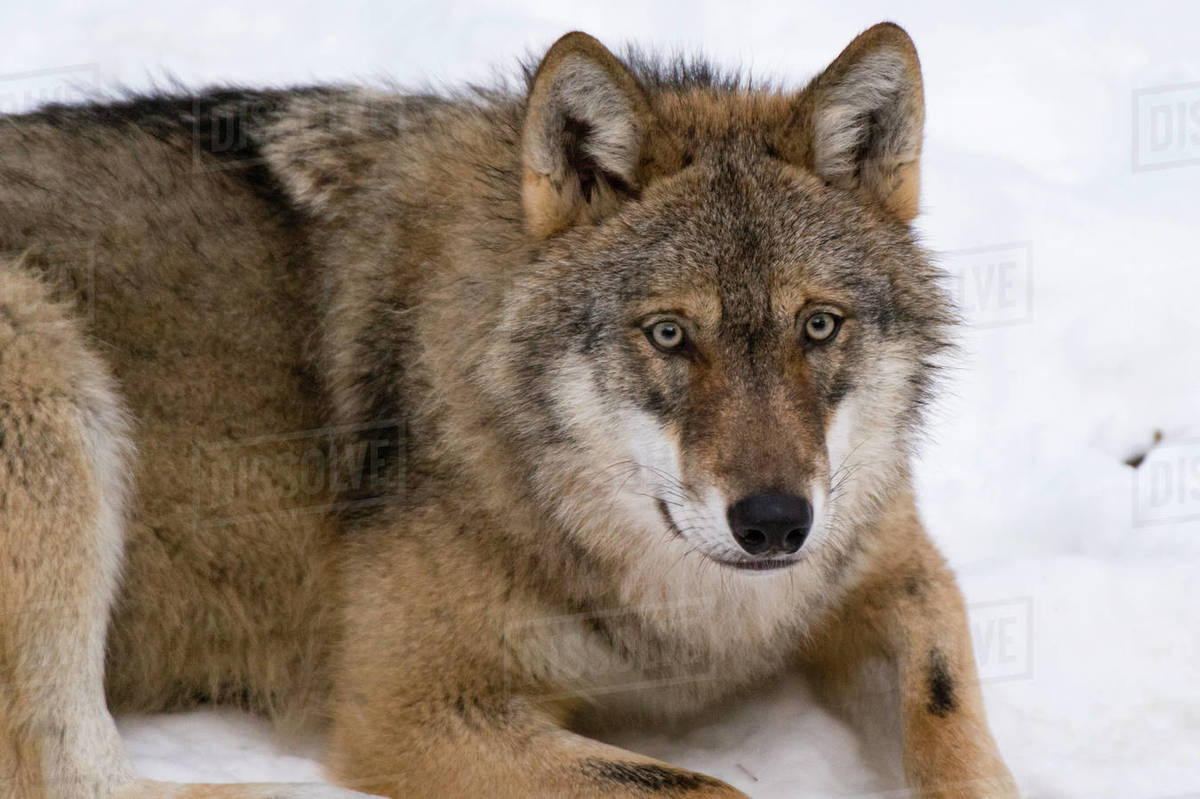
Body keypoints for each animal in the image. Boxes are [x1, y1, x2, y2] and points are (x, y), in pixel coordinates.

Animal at [0, 21, 1019, 799]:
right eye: (668, 334)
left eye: (817, 325)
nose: (774, 522)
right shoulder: (411, 705)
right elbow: (703, 785)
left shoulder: (889, 565)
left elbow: (954, 727)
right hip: (50, 374)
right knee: (69, 772)